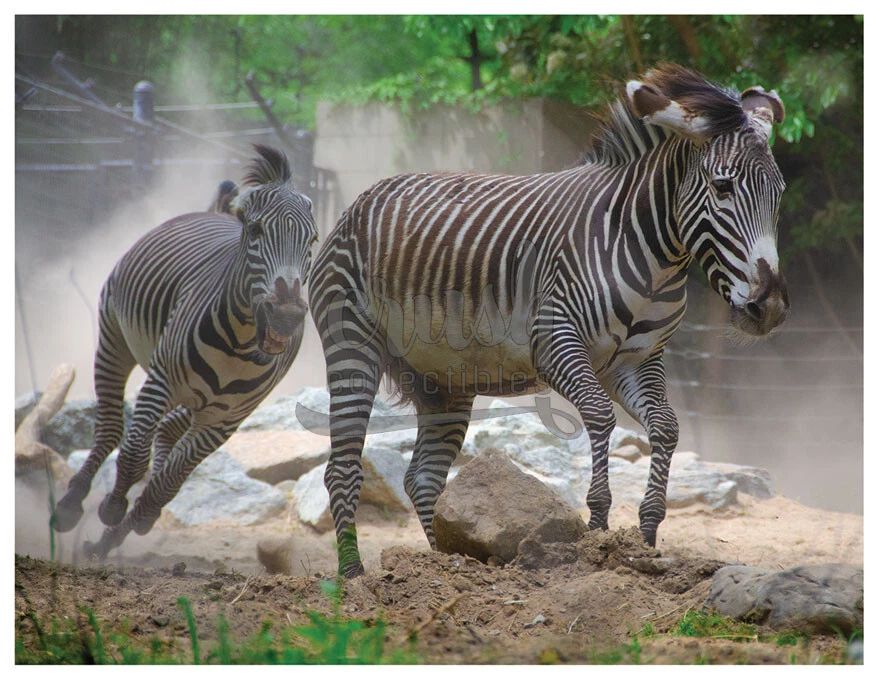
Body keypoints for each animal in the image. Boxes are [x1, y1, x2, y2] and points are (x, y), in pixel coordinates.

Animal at [51, 144, 318, 558]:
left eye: (313, 241)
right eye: (256, 231)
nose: (286, 318)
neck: (240, 347)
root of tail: (216, 213)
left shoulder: (223, 421)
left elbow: (167, 482)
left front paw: (124, 529)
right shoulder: (160, 381)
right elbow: (134, 456)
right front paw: (112, 507)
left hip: (193, 399)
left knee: (165, 433)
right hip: (114, 337)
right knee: (112, 429)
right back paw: (70, 504)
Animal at [309, 64, 790, 577]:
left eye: (778, 194)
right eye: (723, 188)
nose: (770, 308)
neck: (656, 257)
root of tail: (366, 196)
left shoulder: (638, 360)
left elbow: (666, 425)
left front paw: (646, 536)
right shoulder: (555, 342)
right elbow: (599, 415)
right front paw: (597, 529)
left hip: (445, 380)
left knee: (422, 477)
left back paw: (445, 567)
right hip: (351, 345)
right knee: (342, 468)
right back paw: (355, 577)